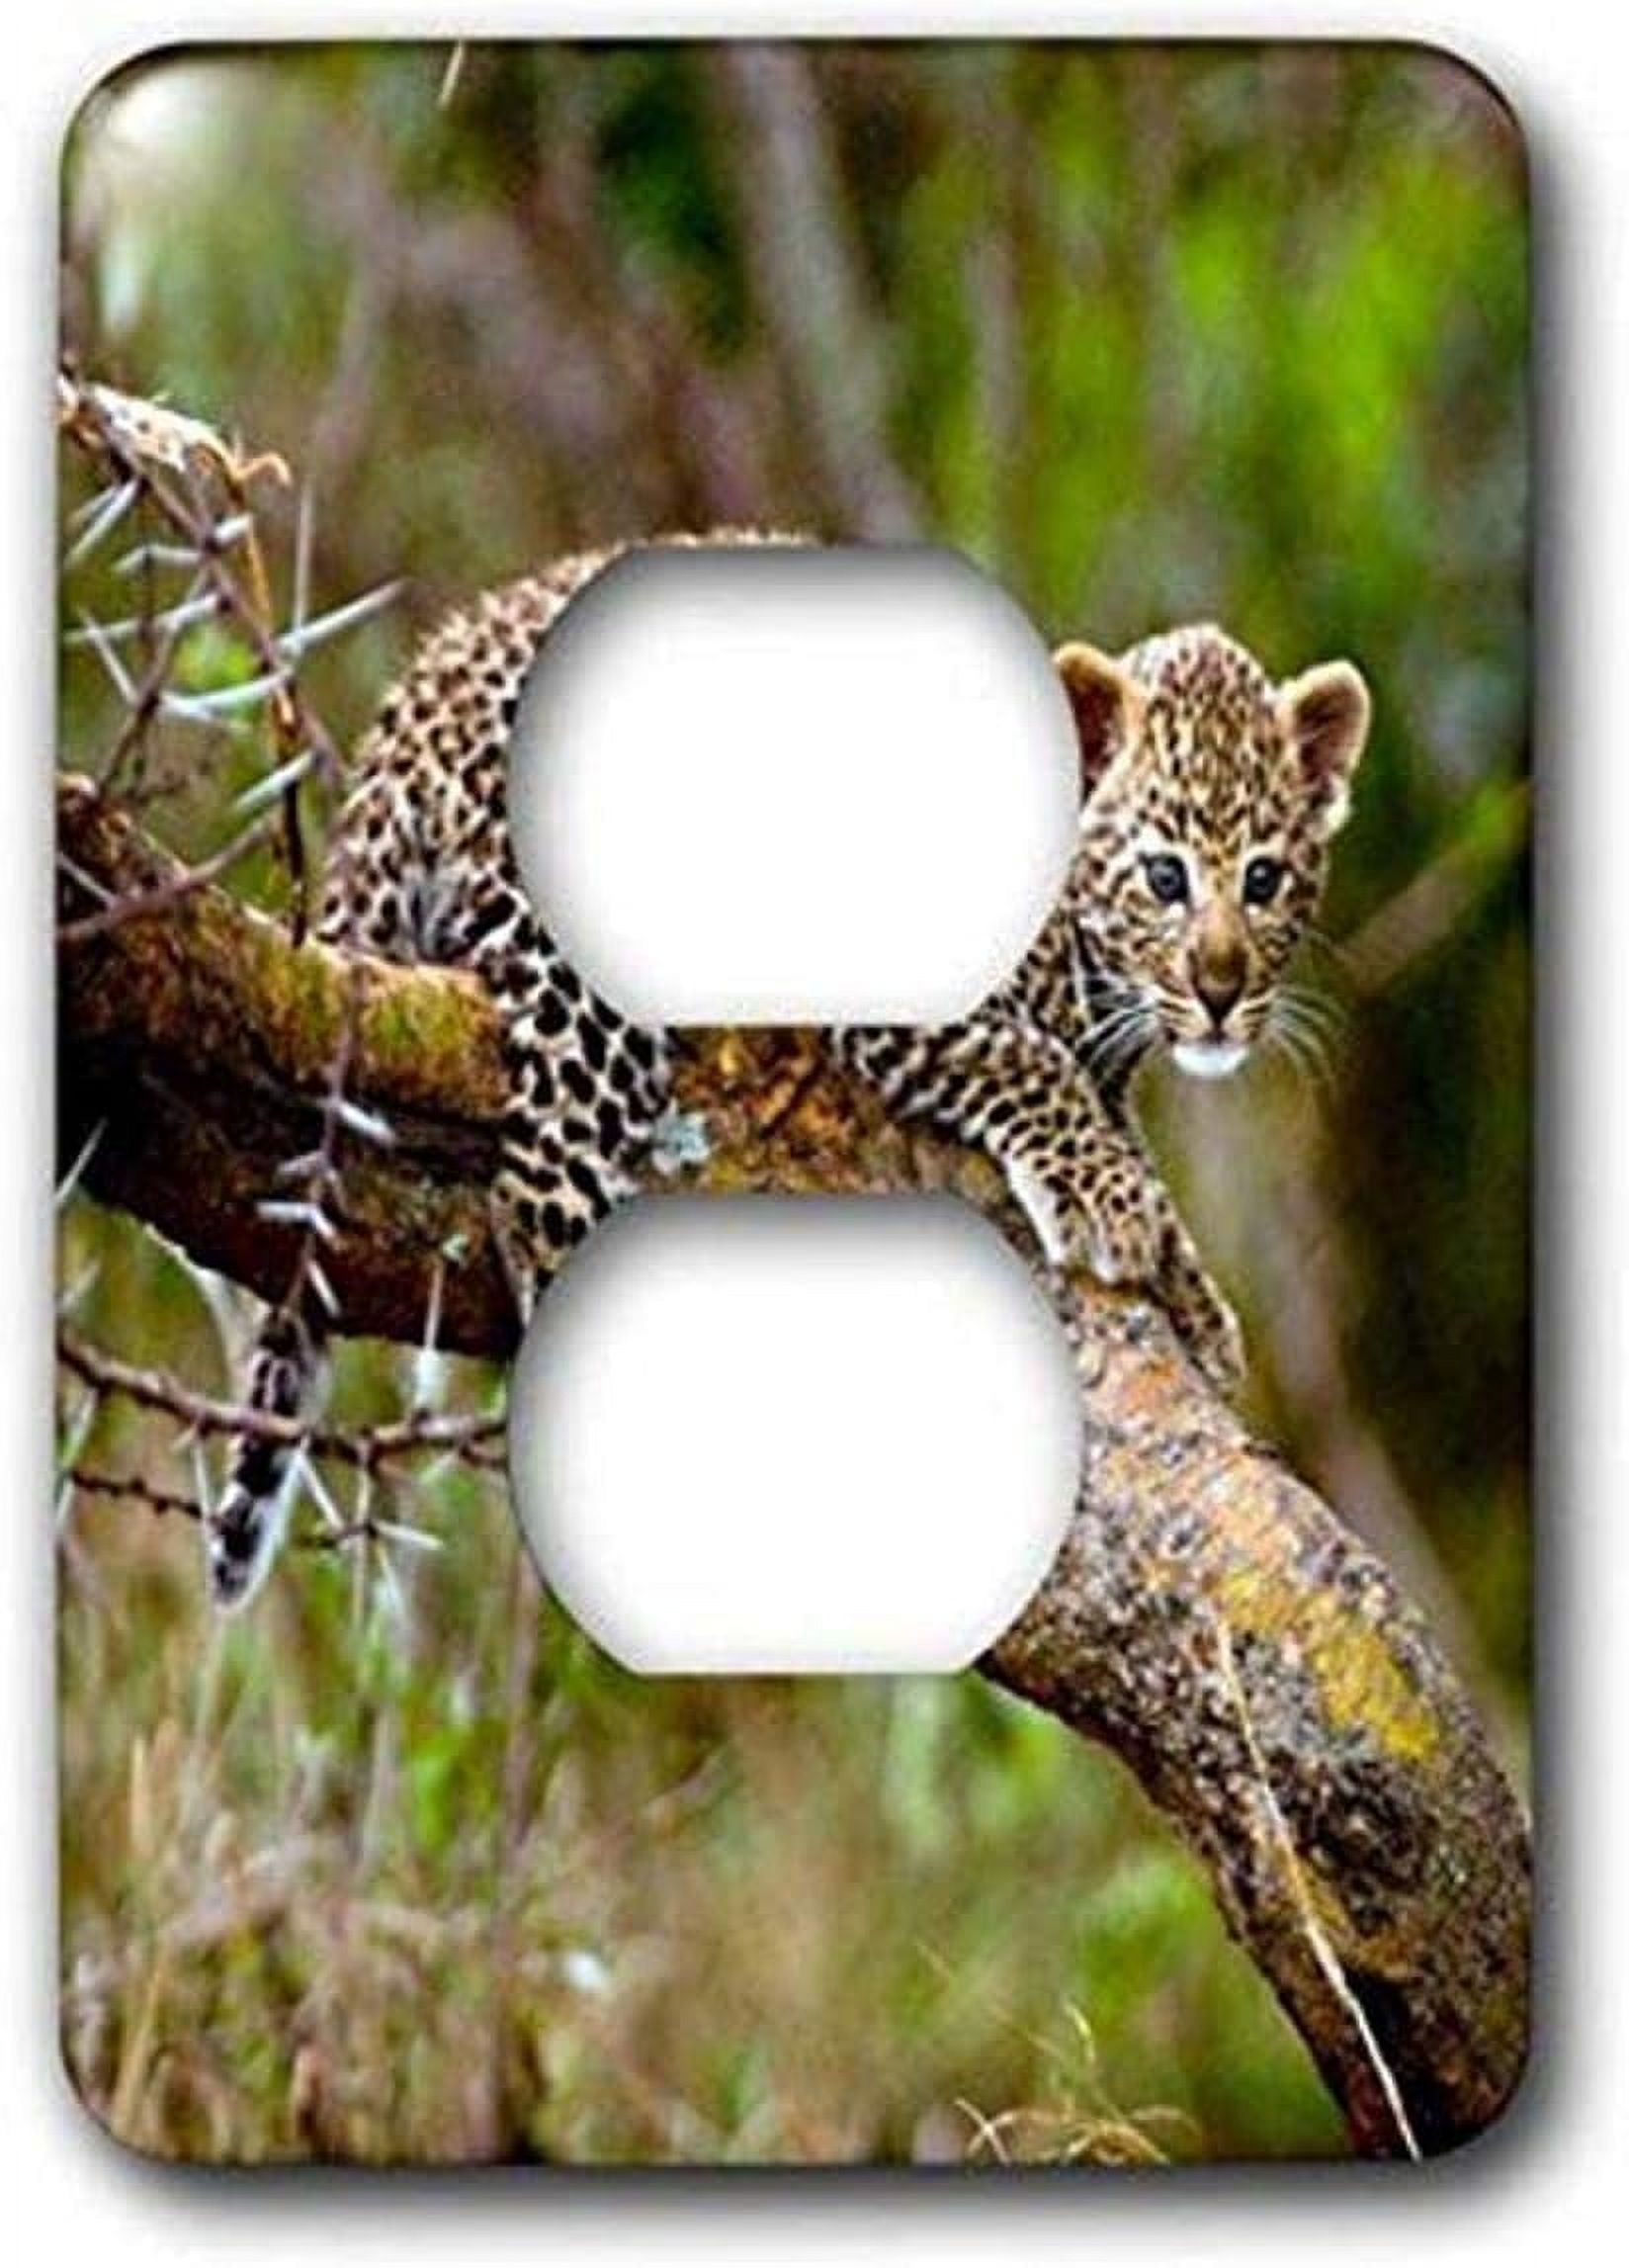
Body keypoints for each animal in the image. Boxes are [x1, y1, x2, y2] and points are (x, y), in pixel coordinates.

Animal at [206, 534, 1369, 1608]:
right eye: (1164, 878)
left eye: (1265, 880)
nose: (1219, 991)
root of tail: (414, 702)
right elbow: (1034, 1064)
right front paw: (1114, 1207)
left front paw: (1192, 1291)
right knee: (538, 1190)